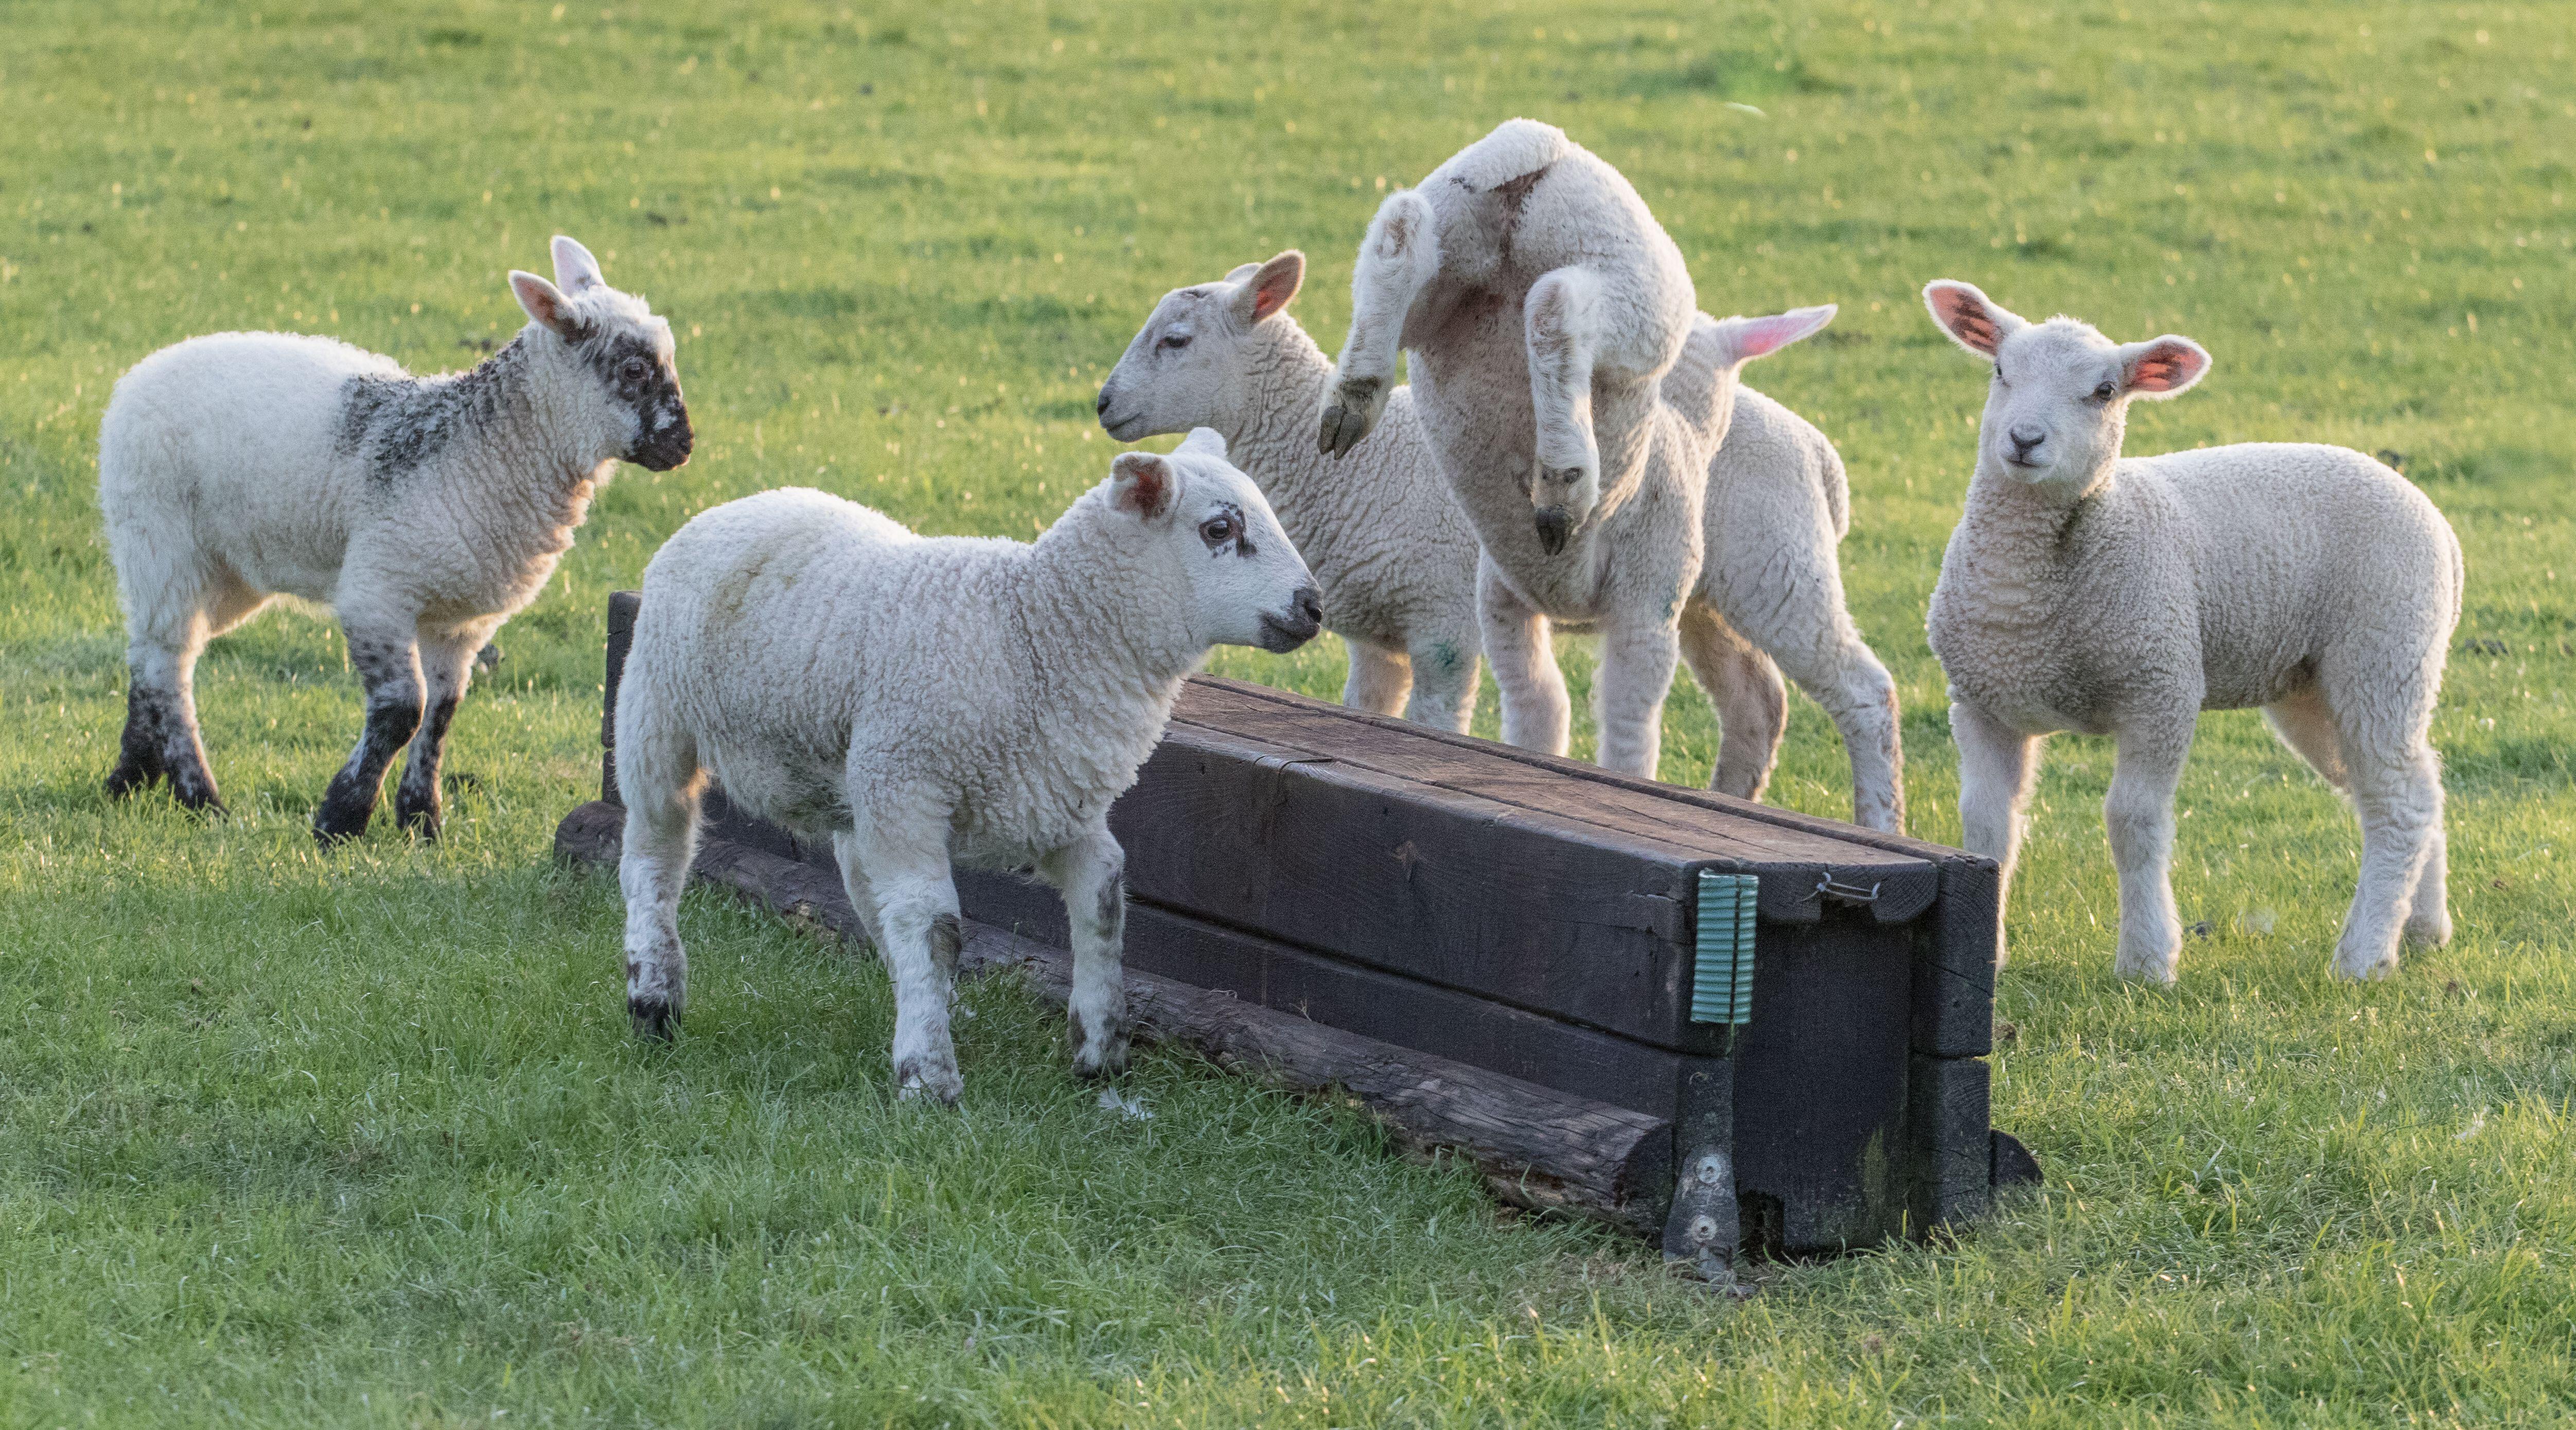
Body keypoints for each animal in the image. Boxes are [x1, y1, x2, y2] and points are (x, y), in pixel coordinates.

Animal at [99, 236, 691, 844]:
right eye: (634, 369)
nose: (684, 445)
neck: (488, 453)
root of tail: (143, 372)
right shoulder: (378, 591)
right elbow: (402, 709)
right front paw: (342, 818)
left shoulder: (460, 621)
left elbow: (442, 712)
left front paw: (422, 823)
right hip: (160, 540)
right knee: (168, 663)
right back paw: (200, 796)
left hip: (228, 572)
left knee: (149, 647)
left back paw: (131, 776)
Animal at [611, 431, 1322, 1102]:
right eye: (1219, 530)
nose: (1313, 606)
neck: (1031, 630)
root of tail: (738, 503)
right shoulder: (909, 785)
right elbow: (934, 928)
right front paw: (929, 1079)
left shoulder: (1054, 802)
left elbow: (1103, 896)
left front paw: (1099, 1049)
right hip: (656, 719)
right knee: (654, 857)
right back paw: (653, 998)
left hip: (857, 781)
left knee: (862, 885)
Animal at [1096, 250, 1485, 731]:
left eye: (1176, 340)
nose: (1102, 404)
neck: (1358, 468)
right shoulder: (1377, 642)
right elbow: (1366, 705)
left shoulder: (1447, 633)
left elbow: (1434, 722)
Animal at [1313, 120, 1905, 828]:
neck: (1685, 428)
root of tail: (1537, 150)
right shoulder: (1620, 600)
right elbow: (1601, 714)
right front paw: (1620, 780)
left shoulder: (1546, 600)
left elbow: (1554, 703)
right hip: (1633, 290)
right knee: (1554, 300)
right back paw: (1561, 474)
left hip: (1466, 260)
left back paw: (1358, 396)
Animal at [1921, 280, 2462, 981]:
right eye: (1998, 371)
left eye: (2104, 391)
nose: (2024, 439)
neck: (2026, 596)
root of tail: (2434, 519)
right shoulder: (1983, 703)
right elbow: (1987, 827)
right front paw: (1986, 951)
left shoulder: (2161, 688)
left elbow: (2132, 822)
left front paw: (2148, 960)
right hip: (2319, 689)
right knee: (2417, 786)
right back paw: (2422, 929)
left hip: (2384, 653)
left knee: (2396, 806)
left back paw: (2363, 956)